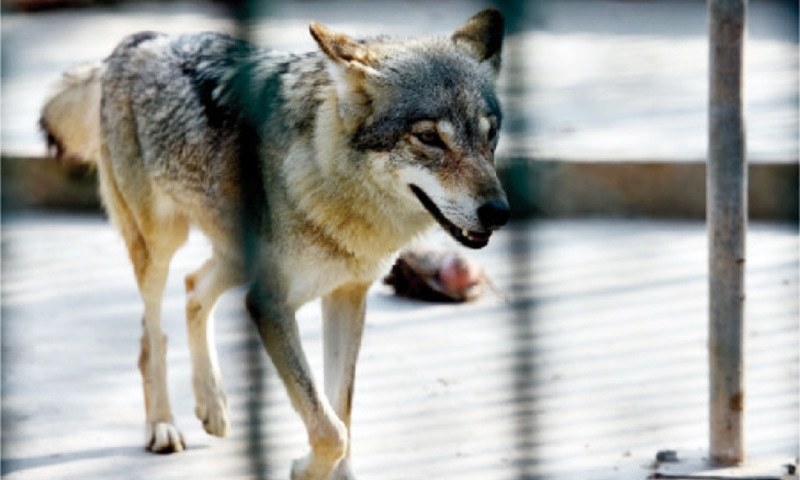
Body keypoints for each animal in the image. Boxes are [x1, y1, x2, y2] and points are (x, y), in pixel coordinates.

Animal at [40, 8, 509, 479]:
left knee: (193, 288)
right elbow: (330, 429)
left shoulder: (347, 296)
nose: (499, 212)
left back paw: (213, 405)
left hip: (233, 257)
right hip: (159, 248)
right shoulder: (270, 305)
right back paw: (163, 426)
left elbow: (342, 409)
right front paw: (304, 468)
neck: (328, 179)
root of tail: (140, 40)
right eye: (429, 138)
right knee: (151, 336)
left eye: (490, 135)